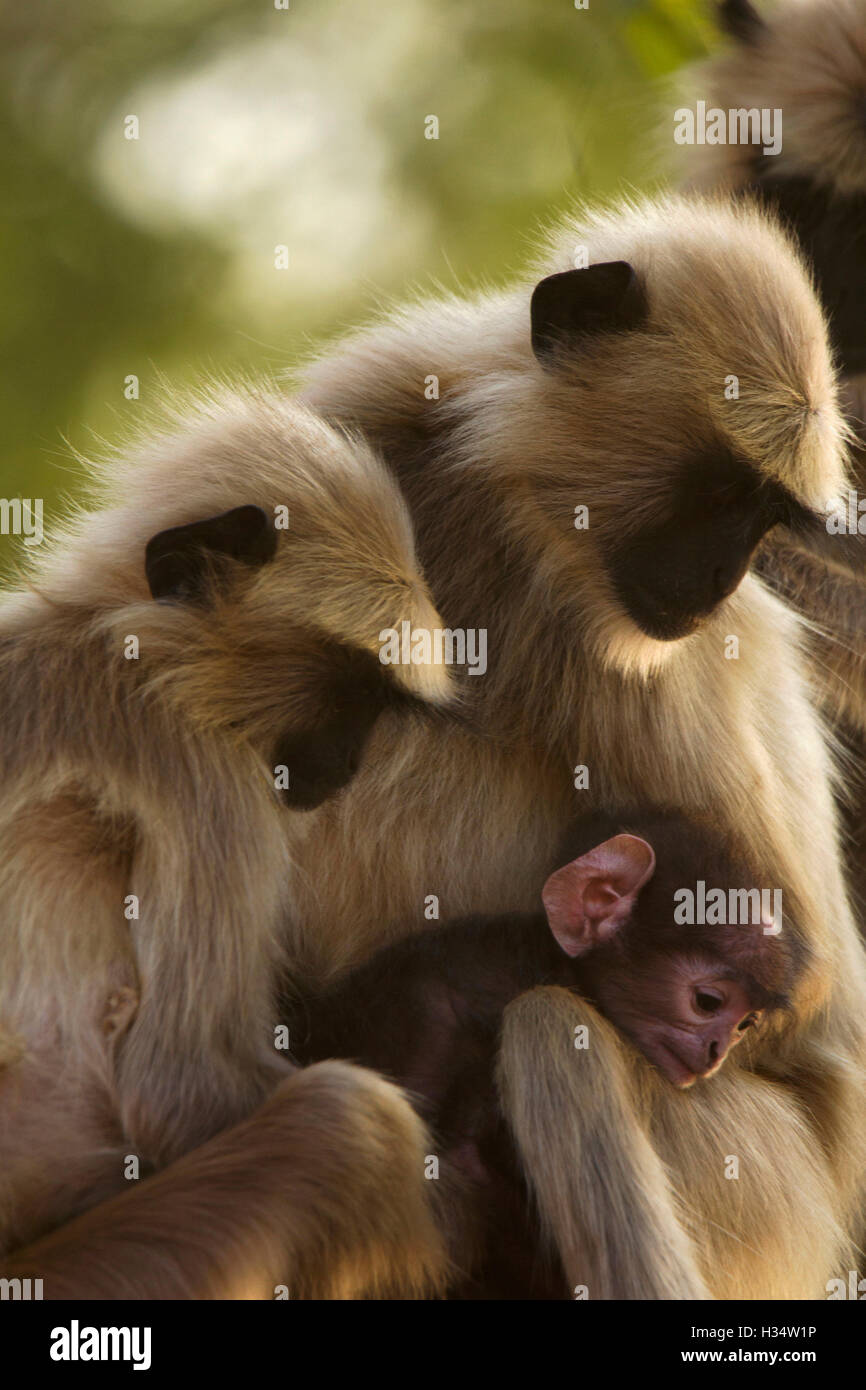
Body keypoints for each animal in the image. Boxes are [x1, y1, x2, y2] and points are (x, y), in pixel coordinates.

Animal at [0, 387, 451, 1296]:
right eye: (351, 692)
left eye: (380, 704)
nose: (347, 762)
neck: (110, 637)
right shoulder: (196, 761)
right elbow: (178, 1087)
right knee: (348, 1119)